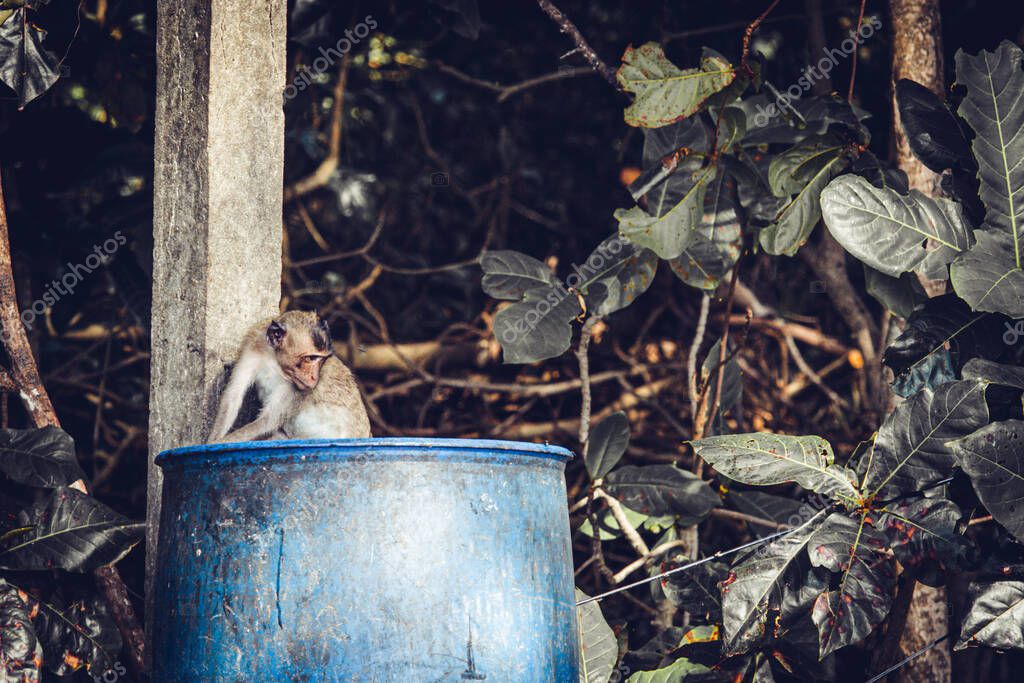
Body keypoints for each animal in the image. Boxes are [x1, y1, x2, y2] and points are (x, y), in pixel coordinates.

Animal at [208, 311, 371, 443]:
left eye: (322, 359)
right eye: (311, 358)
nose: (314, 377)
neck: (275, 361)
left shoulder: (297, 387)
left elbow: (268, 421)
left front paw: (215, 444)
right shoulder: (253, 345)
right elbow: (233, 395)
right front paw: (211, 440)